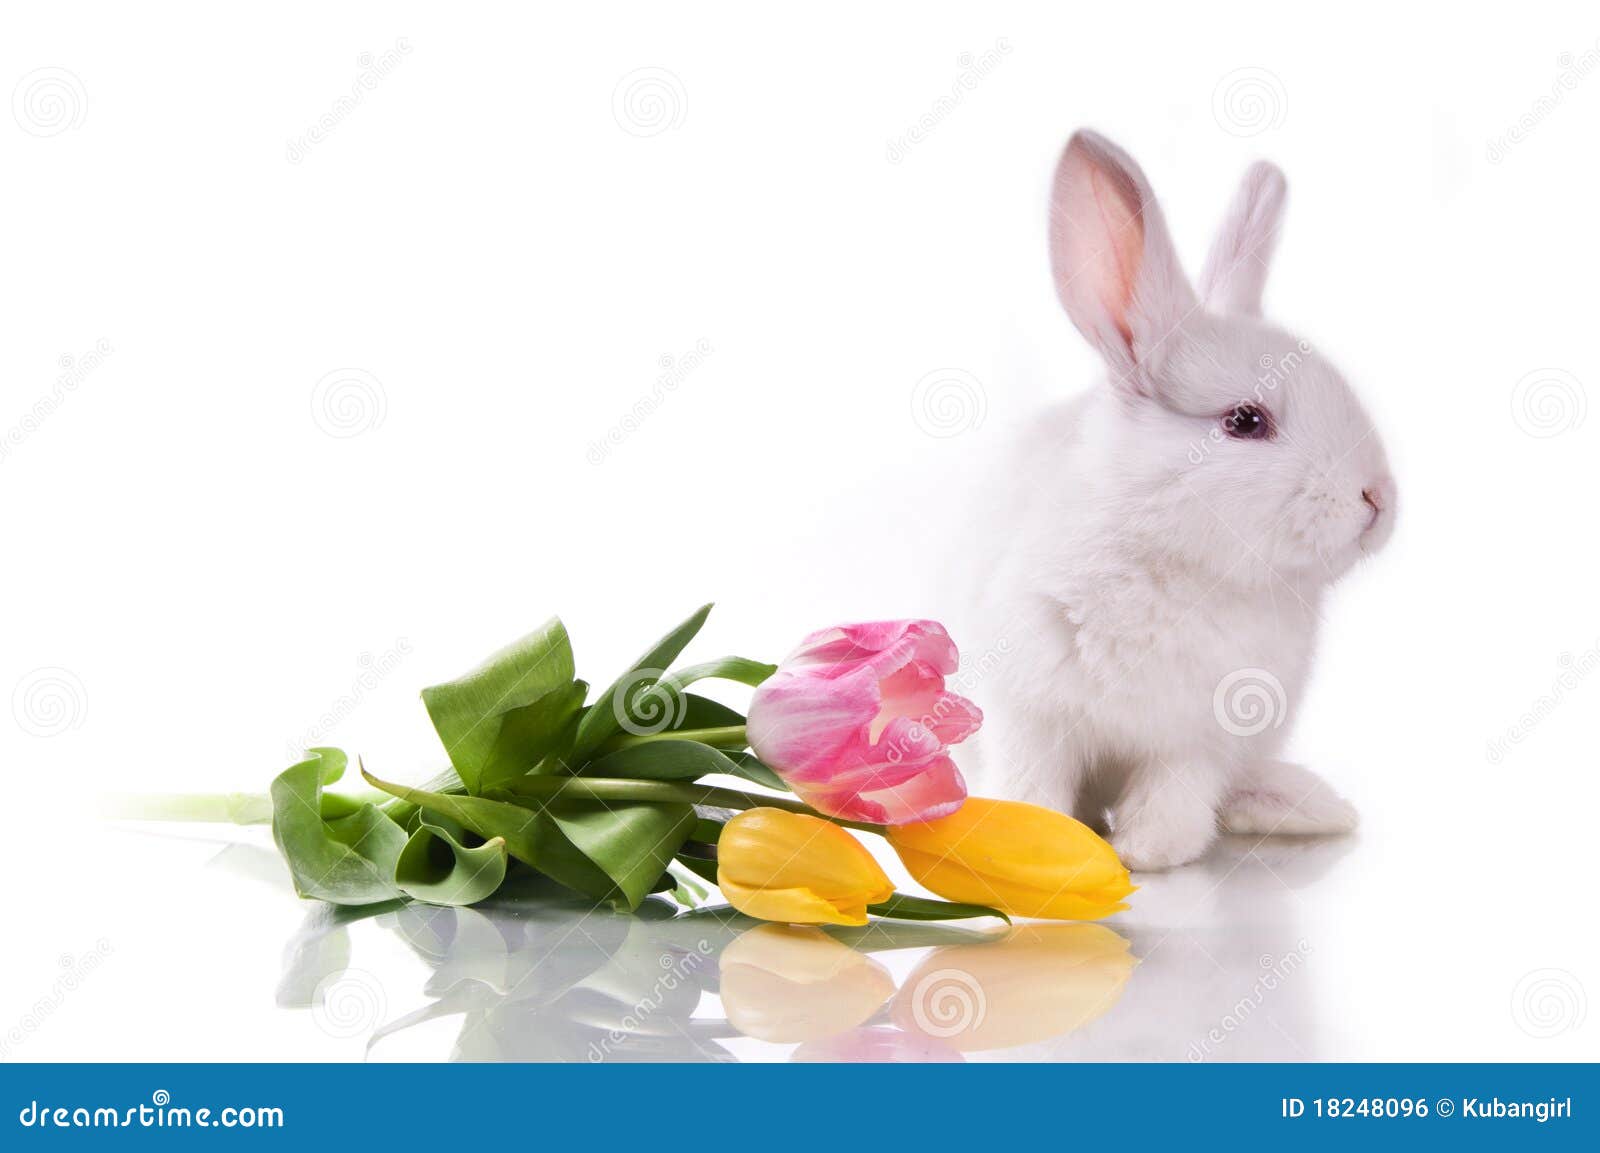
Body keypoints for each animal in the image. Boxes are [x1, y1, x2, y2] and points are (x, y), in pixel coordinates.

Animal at [958, 129, 1395, 871]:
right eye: (1246, 421)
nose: (1379, 499)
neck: (1181, 564)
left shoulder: (1199, 737)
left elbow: (1176, 792)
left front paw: (1150, 853)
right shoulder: (1028, 709)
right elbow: (1032, 779)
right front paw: (1038, 845)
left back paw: (1299, 805)